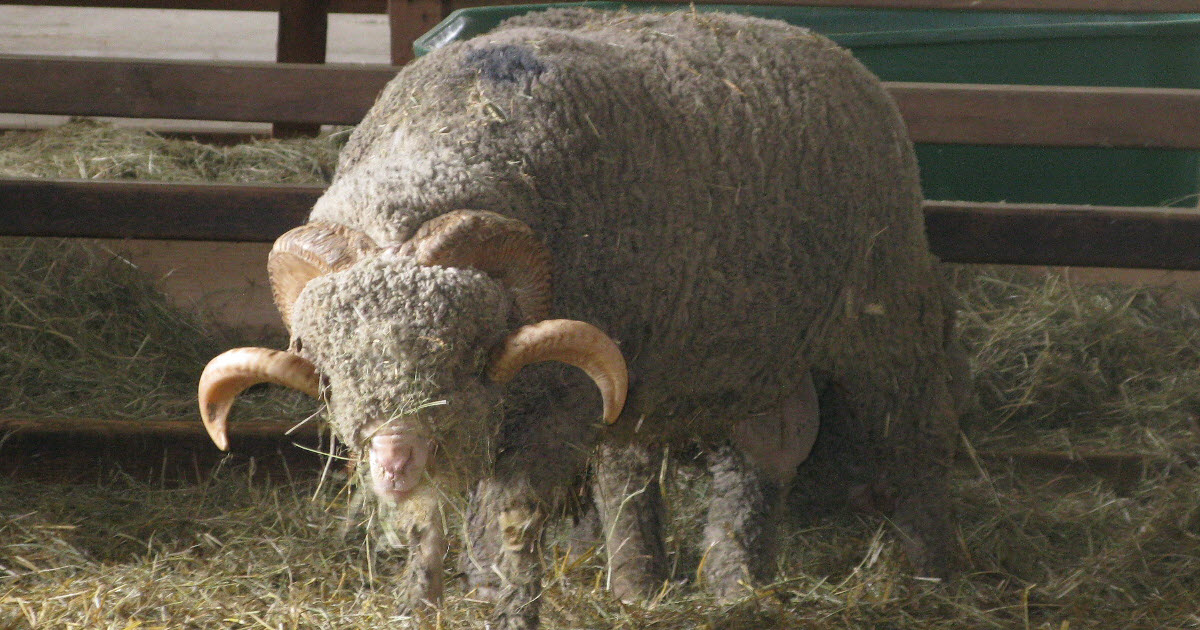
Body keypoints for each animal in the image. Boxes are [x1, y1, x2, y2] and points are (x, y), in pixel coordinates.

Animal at [197, 8, 963, 628]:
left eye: (467, 350)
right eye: (332, 370)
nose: (393, 459)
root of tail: (836, 54)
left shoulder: (552, 401)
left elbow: (509, 516)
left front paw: (507, 604)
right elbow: (435, 527)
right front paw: (424, 602)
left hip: (885, 316)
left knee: (912, 434)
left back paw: (931, 572)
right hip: (726, 357)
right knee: (741, 458)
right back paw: (706, 584)